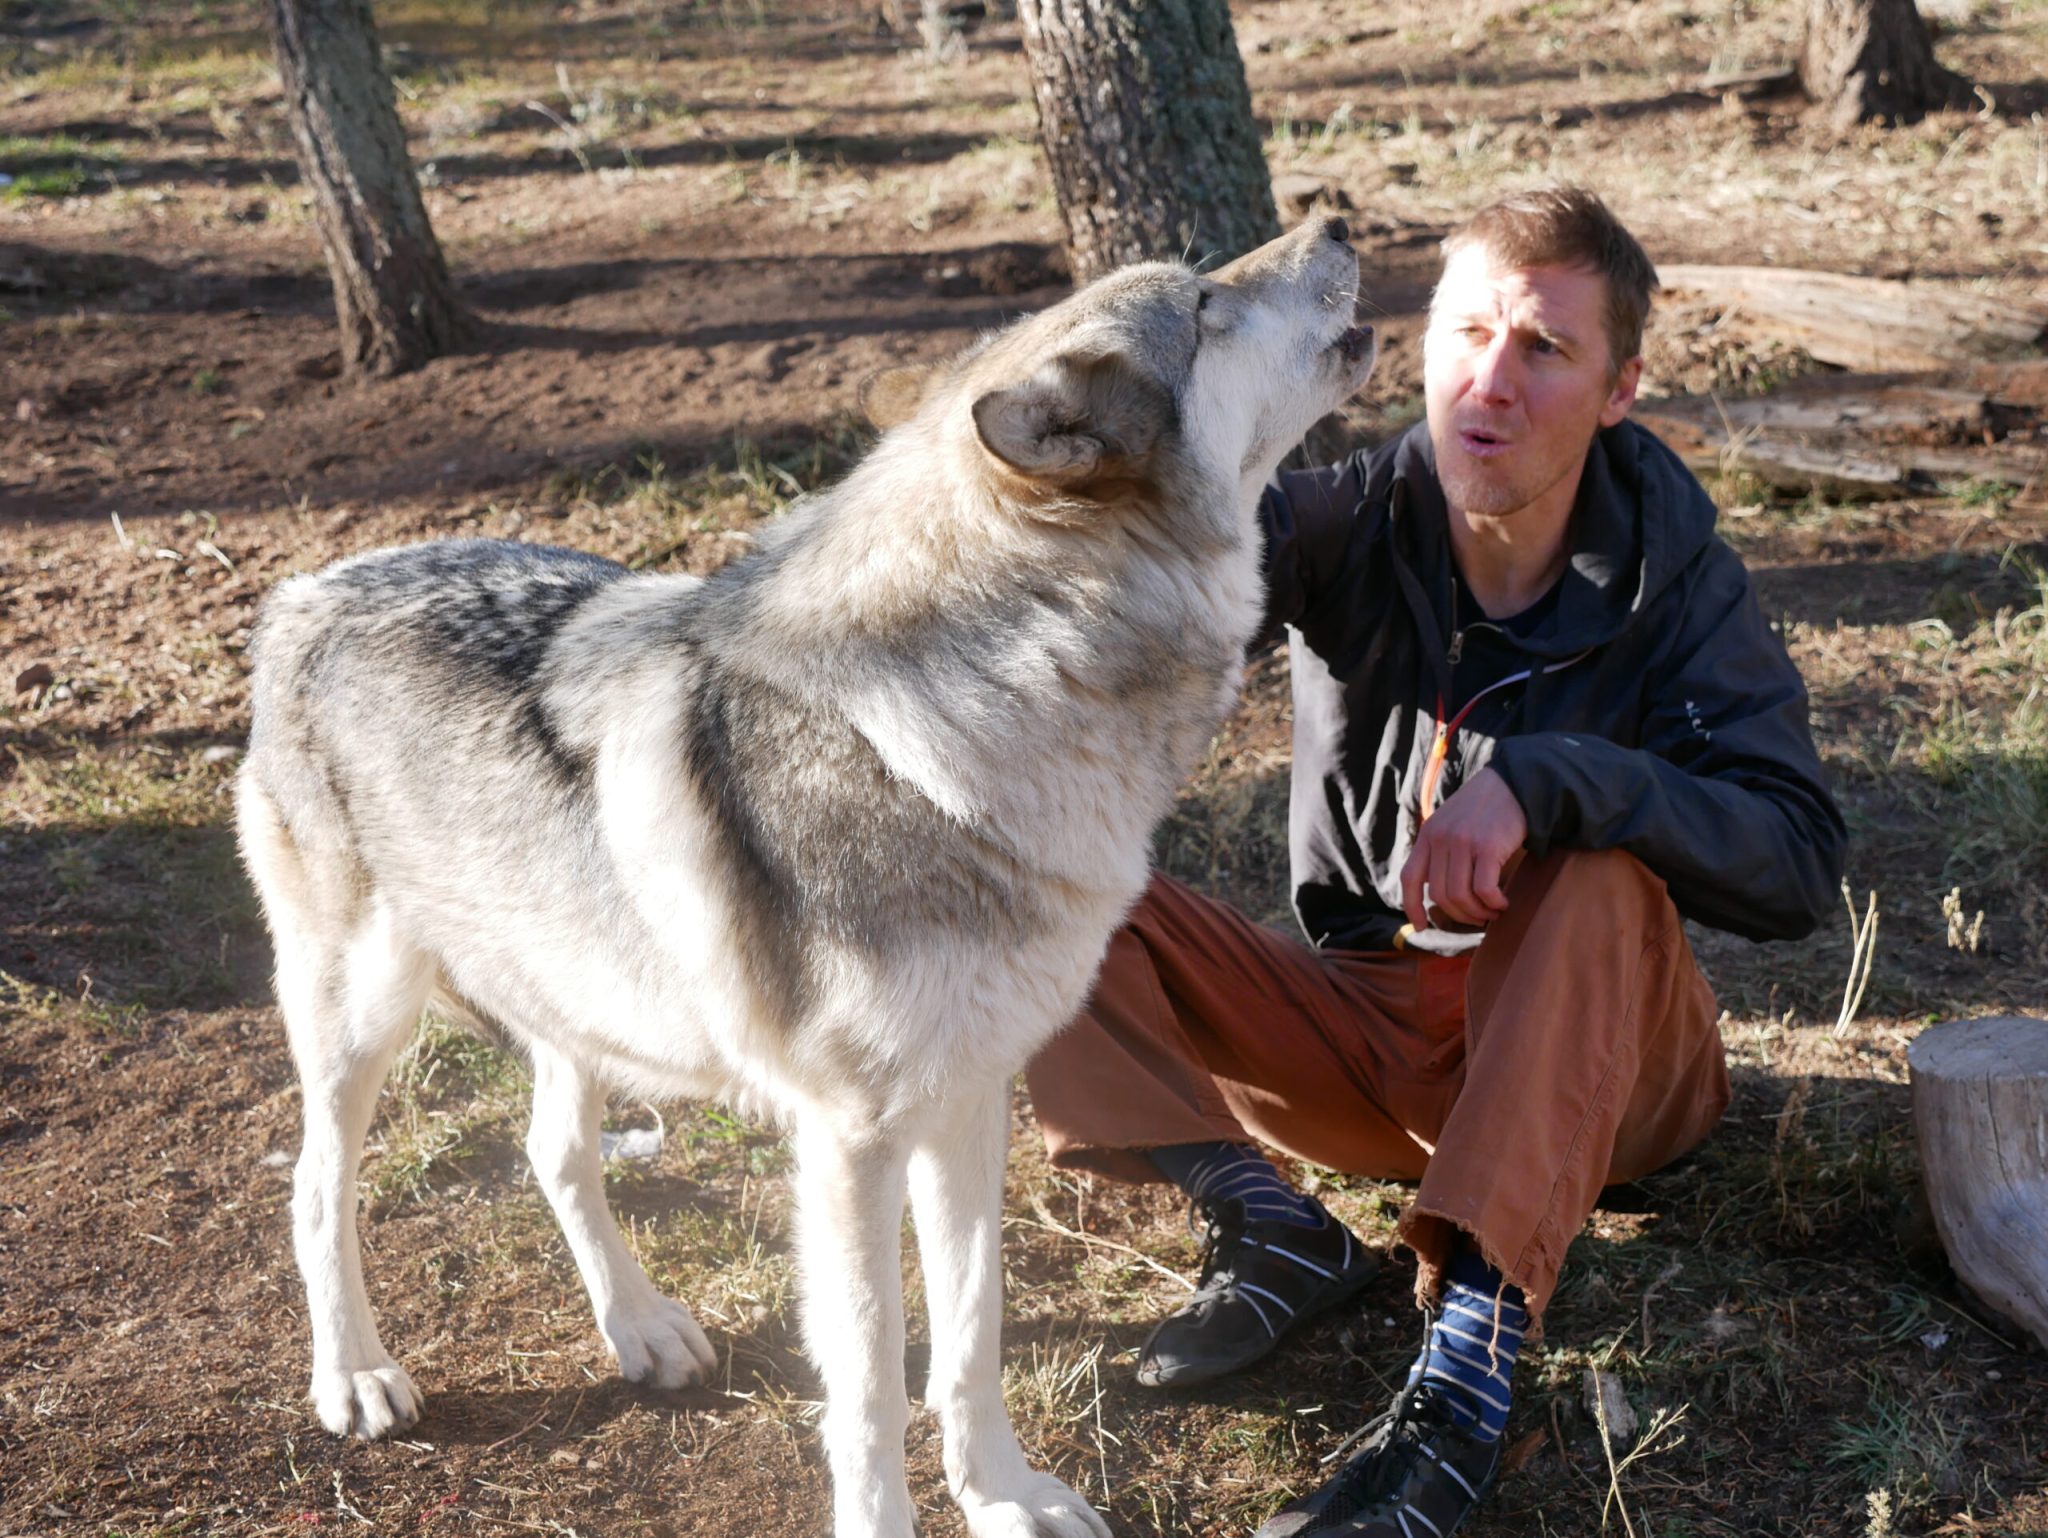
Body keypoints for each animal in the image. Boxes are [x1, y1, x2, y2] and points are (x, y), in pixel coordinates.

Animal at [237, 216, 1376, 1538]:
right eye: (1201, 306)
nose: (1335, 220)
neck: (965, 721)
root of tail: (302, 591)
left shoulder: (971, 1100)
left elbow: (971, 1335)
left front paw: (1004, 1497)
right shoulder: (849, 1143)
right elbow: (873, 1380)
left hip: (573, 998)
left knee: (552, 1150)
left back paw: (642, 1327)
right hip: (363, 1017)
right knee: (315, 1187)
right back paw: (357, 1374)